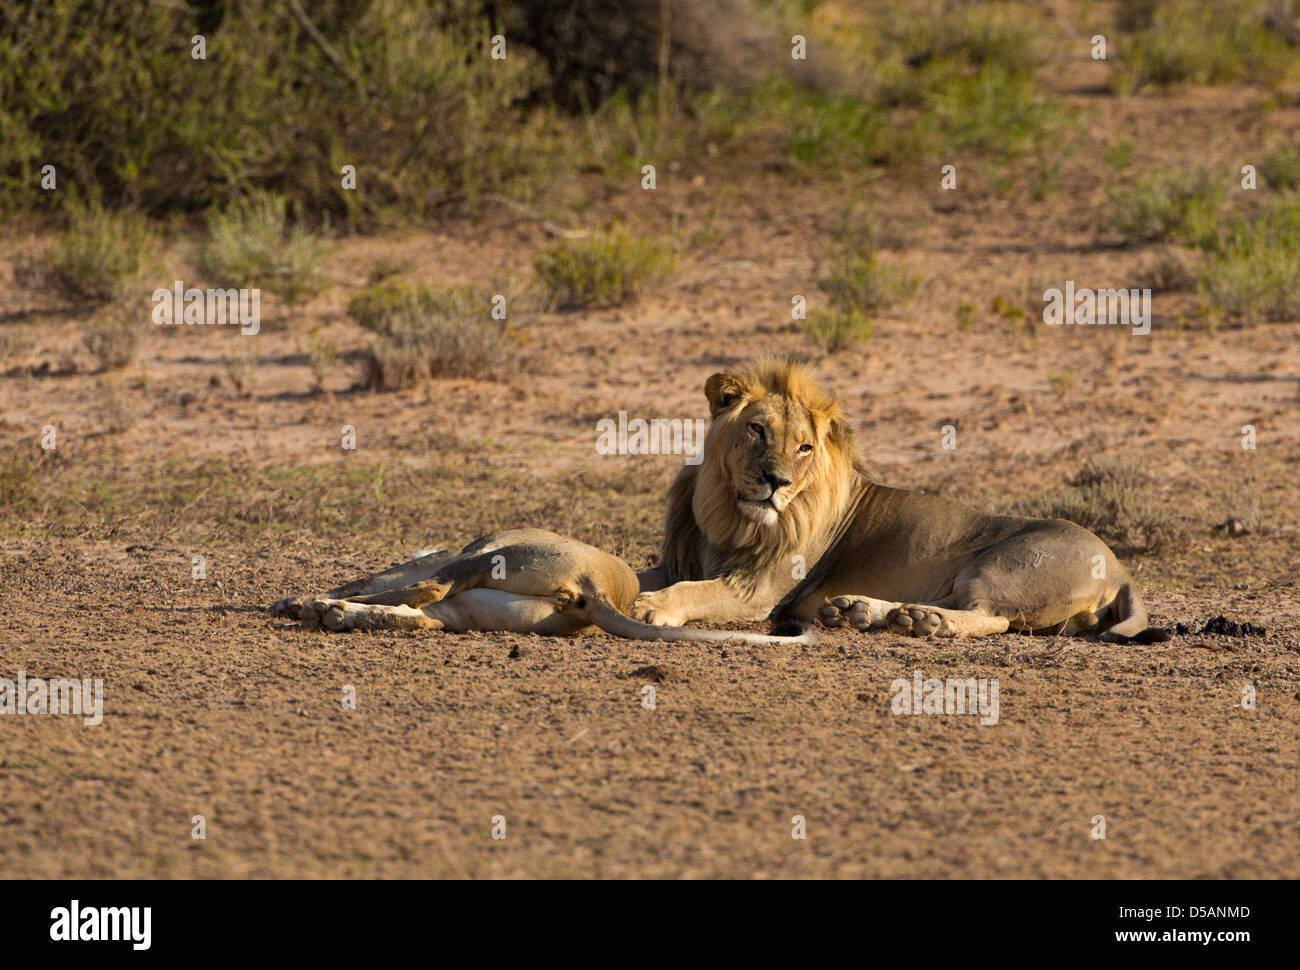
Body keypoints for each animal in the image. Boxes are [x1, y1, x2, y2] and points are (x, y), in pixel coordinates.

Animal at [632, 356, 1167, 642]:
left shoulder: (760, 590)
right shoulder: (683, 561)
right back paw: (866, 611)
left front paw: (652, 607)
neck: (728, 514)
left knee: (991, 617)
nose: (776, 481)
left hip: (997, 568)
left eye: (804, 447)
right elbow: (637, 572)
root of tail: (1119, 567)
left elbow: (696, 591)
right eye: (758, 430)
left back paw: (923, 621)